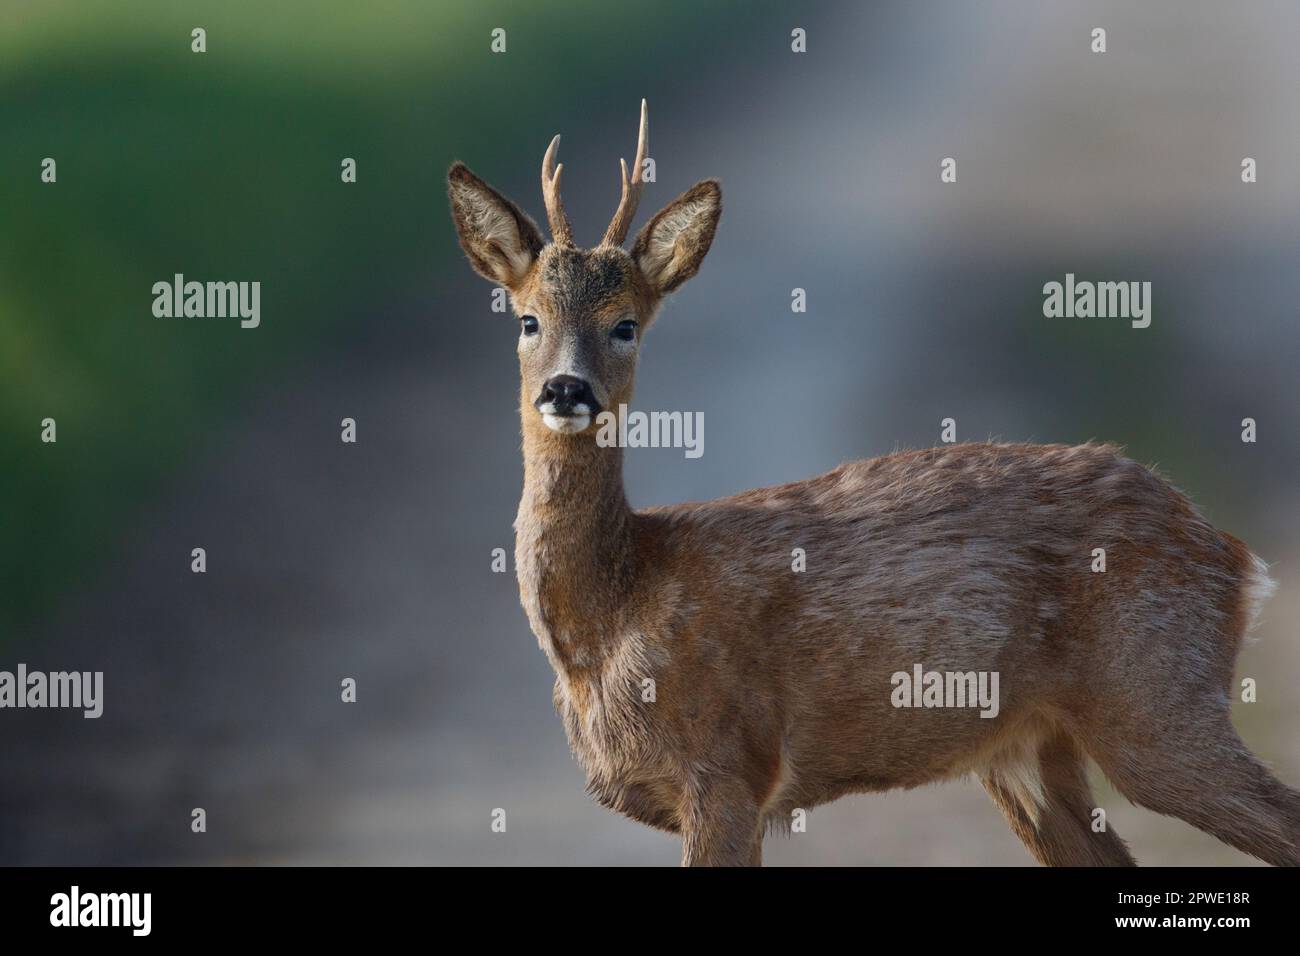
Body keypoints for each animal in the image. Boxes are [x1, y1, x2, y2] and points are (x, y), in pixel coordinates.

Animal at [447, 101, 1298, 866]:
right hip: (1027, 748)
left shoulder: (731, 765)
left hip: (1155, 698)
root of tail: (1231, 552)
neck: (613, 617)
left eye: (626, 323)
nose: (566, 389)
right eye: (527, 319)